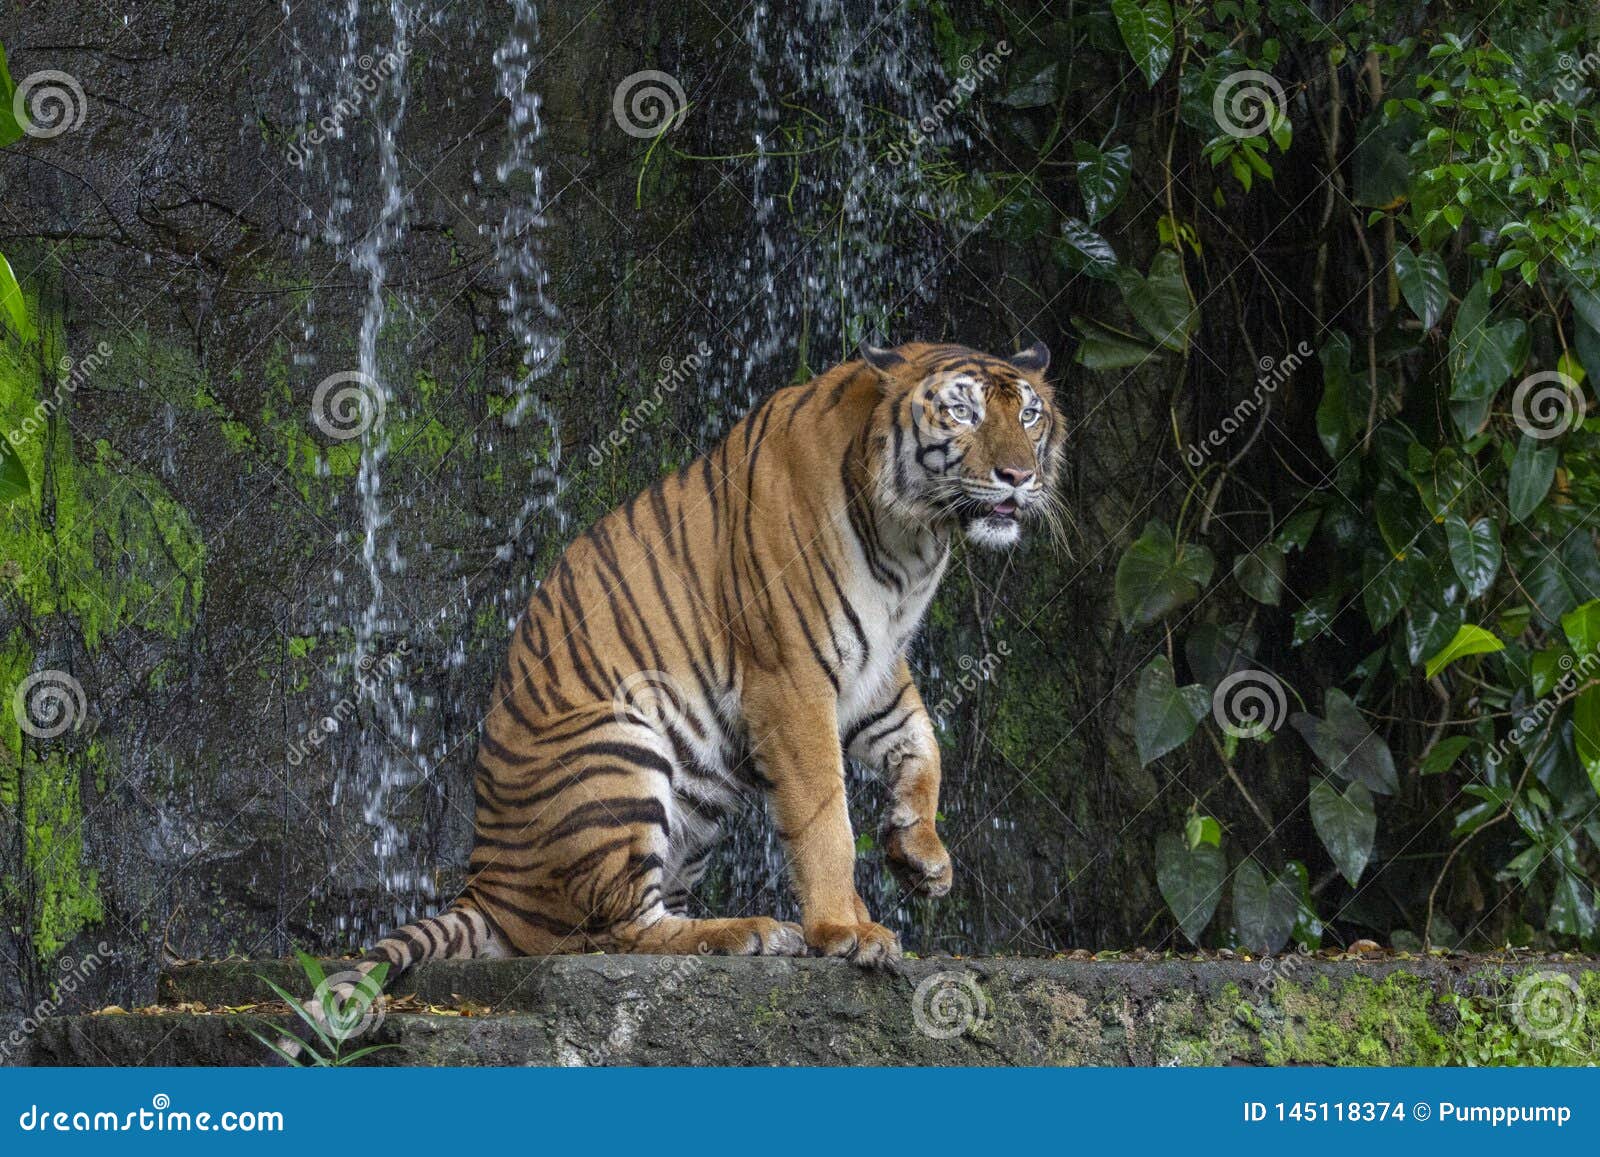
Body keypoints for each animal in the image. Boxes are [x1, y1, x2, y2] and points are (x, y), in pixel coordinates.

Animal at [320, 338, 1061, 1017]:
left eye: (1028, 415)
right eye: (962, 412)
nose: (1019, 476)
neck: (915, 541)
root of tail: (484, 879)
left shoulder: (874, 670)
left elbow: (921, 743)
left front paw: (919, 855)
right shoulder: (792, 678)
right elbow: (826, 816)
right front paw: (843, 931)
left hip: (697, 802)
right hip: (620, 743)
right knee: (611, 933)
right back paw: (753, 930)